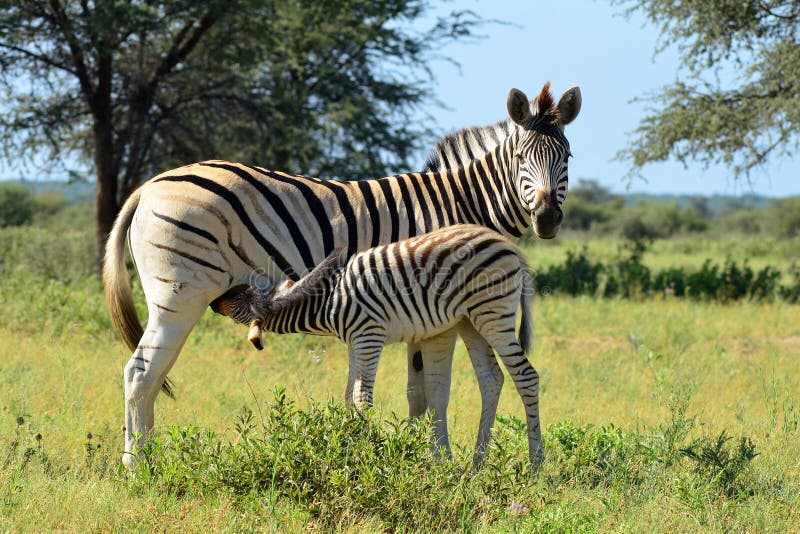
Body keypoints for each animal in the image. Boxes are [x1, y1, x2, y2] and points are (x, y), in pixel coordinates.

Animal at [212, 224, 543, 466]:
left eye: (237, 298)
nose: (214, 301)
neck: (327, 301)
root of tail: (510, 247)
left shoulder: (368, 336)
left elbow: (362, 398)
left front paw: (366, 453)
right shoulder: (354, 342)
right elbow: (348, 396)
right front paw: (346, 447)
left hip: (493, 313)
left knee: (526, 376)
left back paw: (536, 464)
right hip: (470, 321)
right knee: (491, 379)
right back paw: (477, 464)